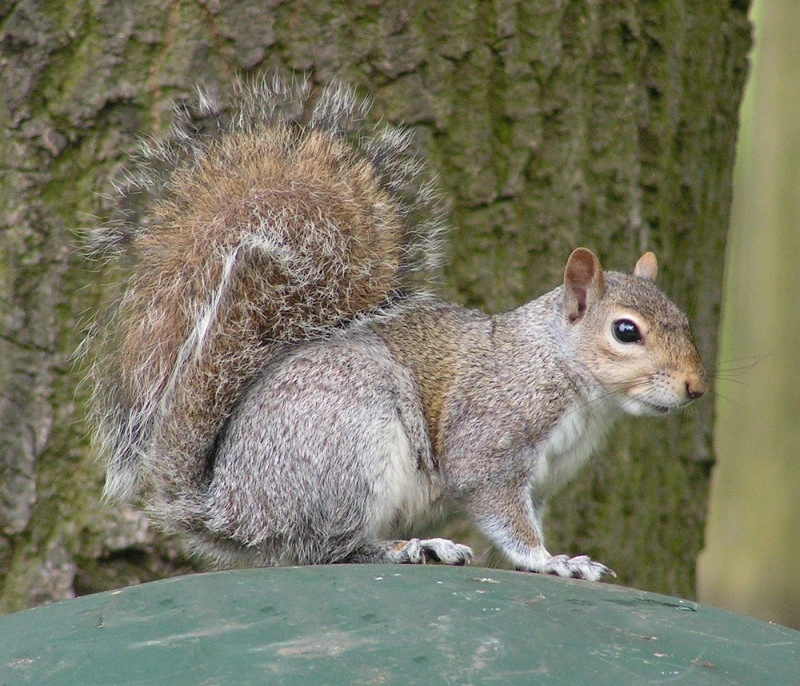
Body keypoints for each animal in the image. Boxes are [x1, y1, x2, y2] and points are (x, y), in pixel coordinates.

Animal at [86, 76, 708, 581]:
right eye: (626, 332)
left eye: (683, 318)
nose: (696, 386)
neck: (560, 367)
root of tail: (230, 506)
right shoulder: (492, 438)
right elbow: (500, 508)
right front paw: (552, 560)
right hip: (349, 448)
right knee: (326, 549)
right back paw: (411, 547)